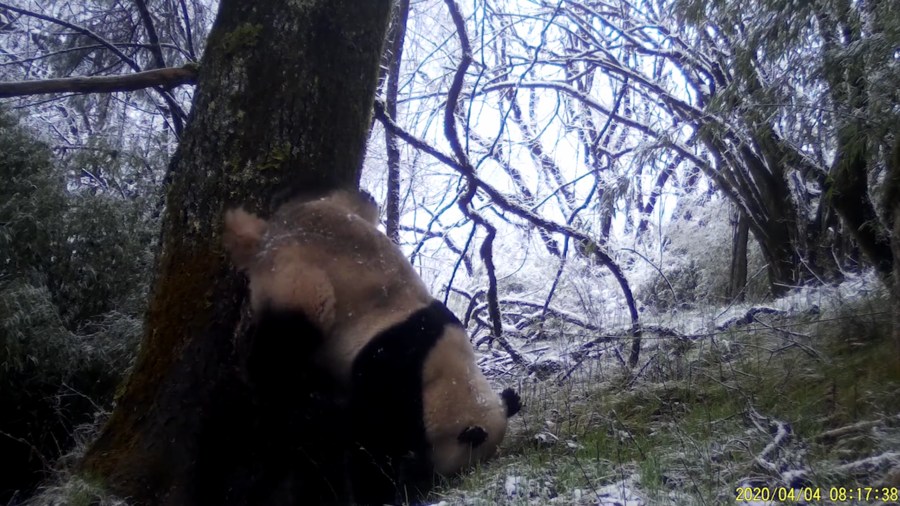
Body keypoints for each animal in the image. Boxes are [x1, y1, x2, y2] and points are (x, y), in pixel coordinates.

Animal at [223, 189, 521, 504]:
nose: (434, 484)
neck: (444, 370)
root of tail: (269, 234)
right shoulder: (389, 367)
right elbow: (369, 439)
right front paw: (386, 489)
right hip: (296, 275)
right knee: (286, 343)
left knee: (363, 200)